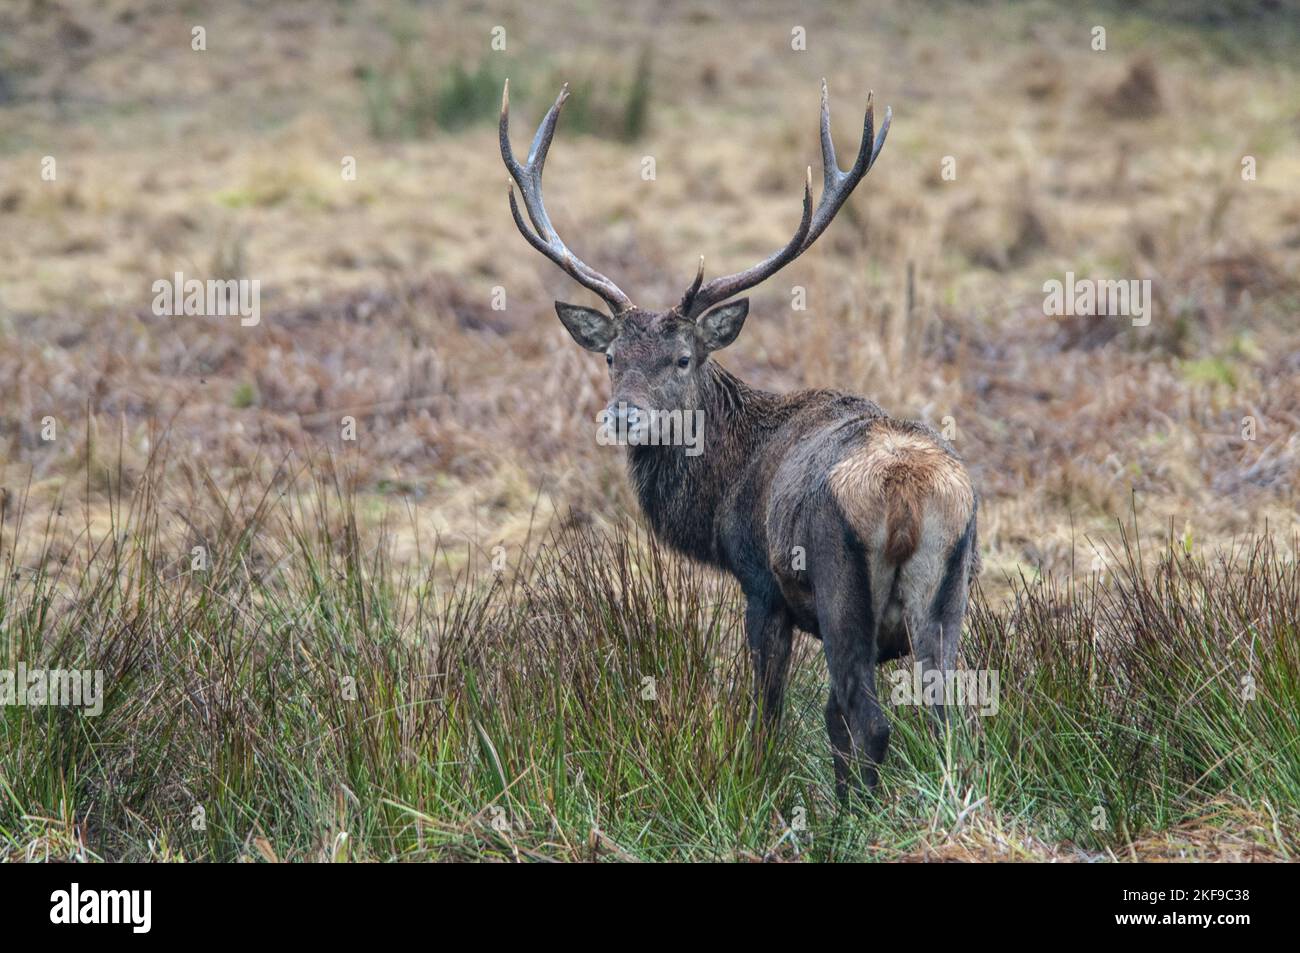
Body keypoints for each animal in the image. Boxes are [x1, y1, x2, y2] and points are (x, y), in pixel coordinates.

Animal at [500, 79, 979, 797]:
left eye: (682, 359)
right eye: (611, 356)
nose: (623, 417)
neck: (721, 491)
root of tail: (907, 498)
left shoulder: (760, 584)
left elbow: (771, 711)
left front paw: (755, 783)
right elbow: (829, 724)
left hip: (841, 589)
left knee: (872, 721)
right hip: (947, 595)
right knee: (947, 722)